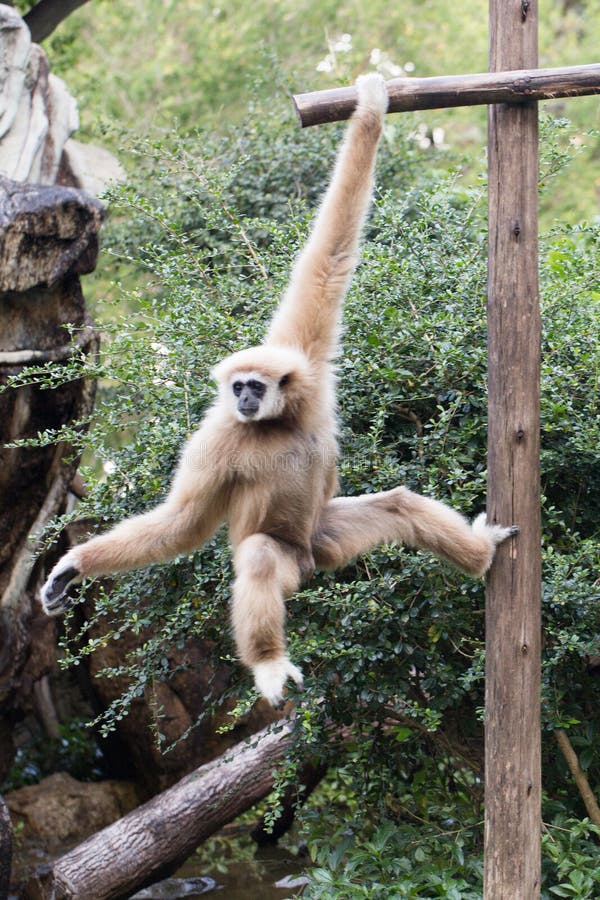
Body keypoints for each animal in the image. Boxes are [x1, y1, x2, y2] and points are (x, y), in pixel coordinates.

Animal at [41, 74, 517, 705]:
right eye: (238, 387)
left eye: (254, 386)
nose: (243, 398)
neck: (277, 421)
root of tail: (314, 561)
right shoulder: (215, 439)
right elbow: (183, 523)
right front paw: (72, 566)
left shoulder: (307, 365)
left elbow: (330, 257)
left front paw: (371, 111)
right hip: (296, 555)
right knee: (263, 556)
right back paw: (268, 663)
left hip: (327, 535)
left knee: (399, 504)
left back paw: (479, 553)